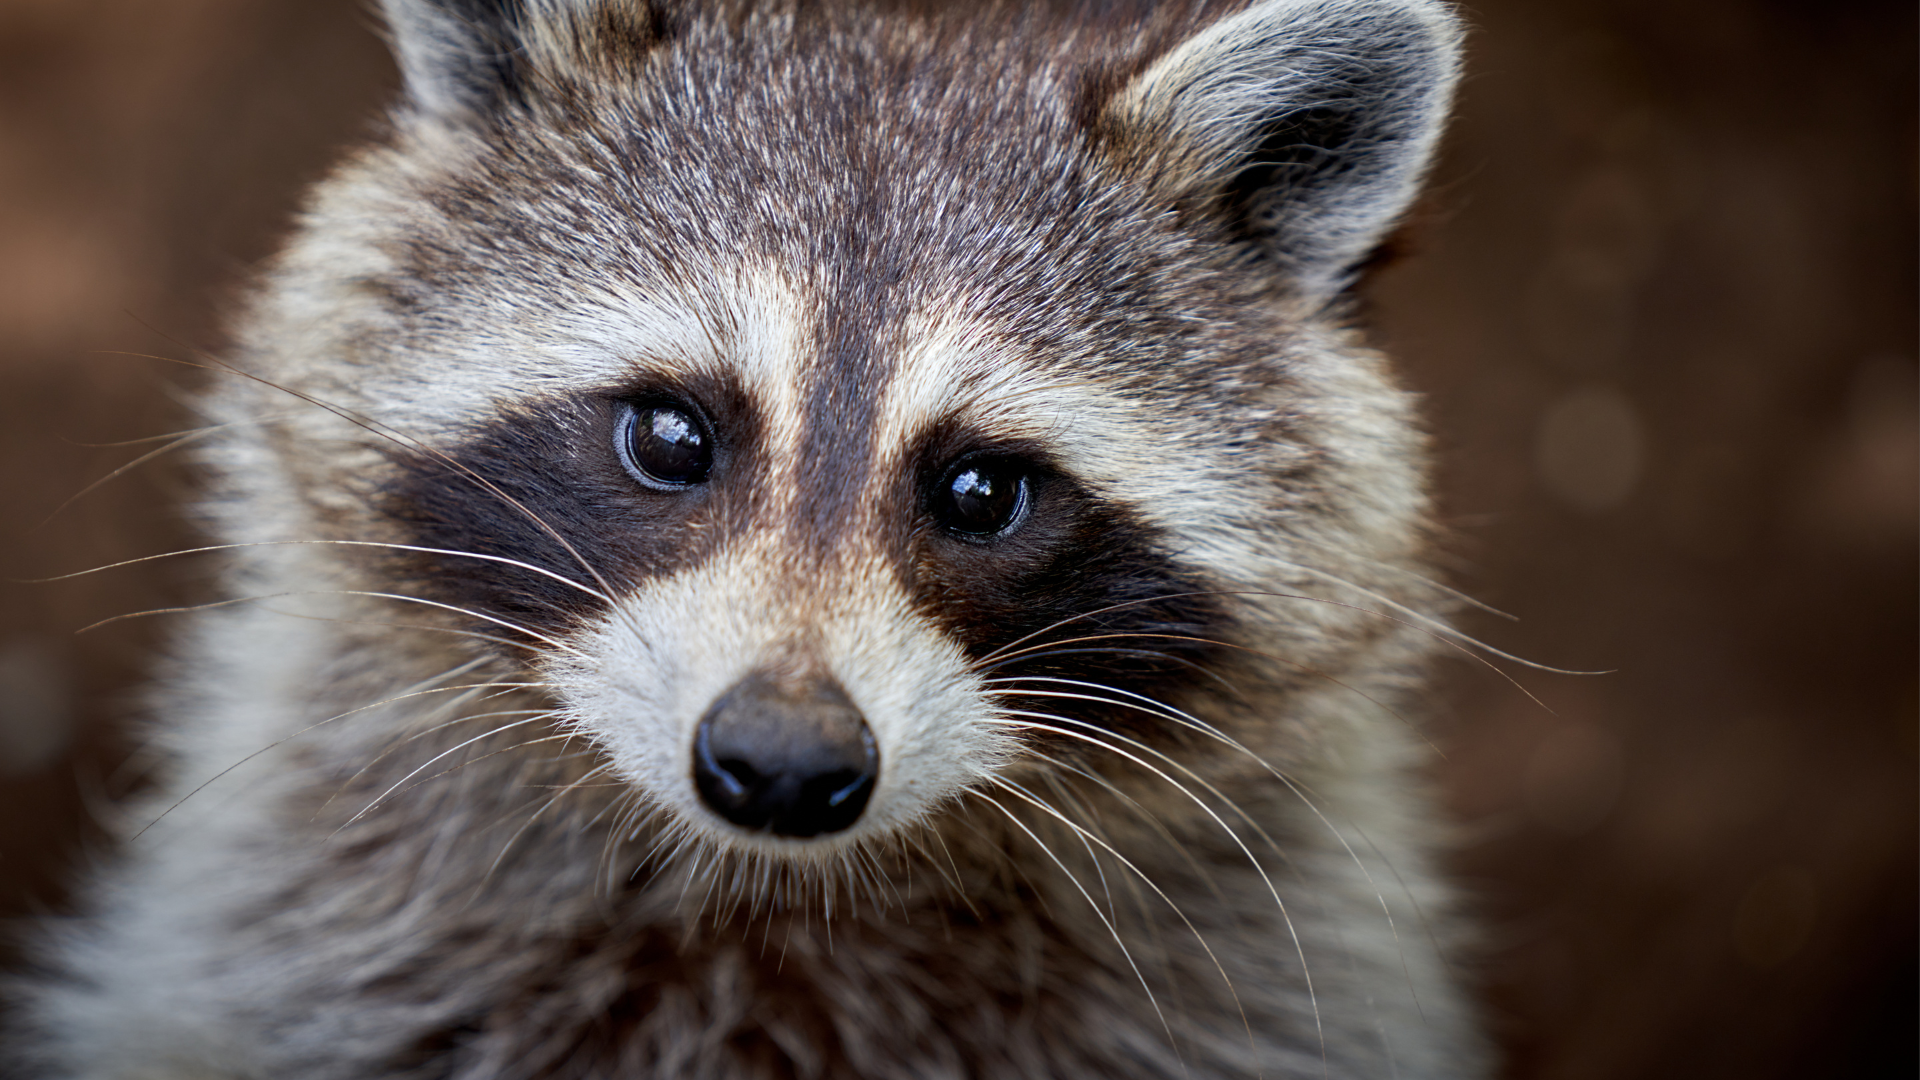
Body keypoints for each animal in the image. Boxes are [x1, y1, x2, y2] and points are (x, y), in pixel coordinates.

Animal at [16, 1, 1485, 1076]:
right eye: (671, 435)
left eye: (982, 492)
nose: (783, 764)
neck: (776, 895)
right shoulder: (319, 927)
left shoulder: (1256, 976)